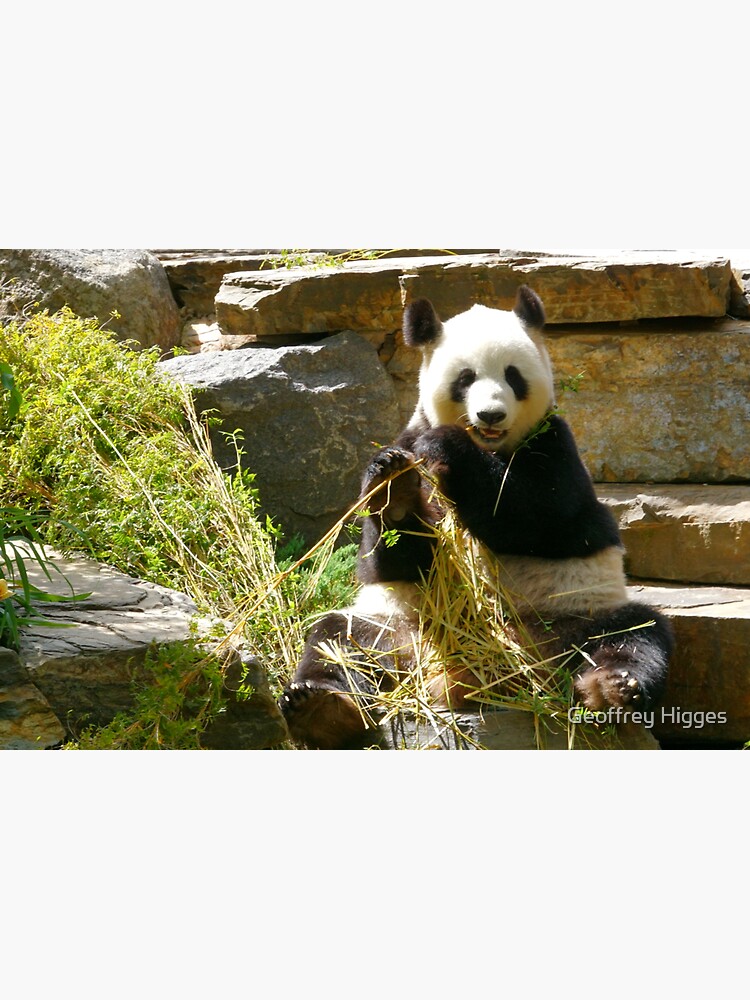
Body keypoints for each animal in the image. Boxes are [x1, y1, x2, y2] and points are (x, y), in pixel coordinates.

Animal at [280, 285, 673, 749]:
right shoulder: (408, 438)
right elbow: (392, 559)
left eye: (513, 376)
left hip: (574, 617)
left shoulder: (556, 445)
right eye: (465, 378)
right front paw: (396, 489)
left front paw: (449, 448)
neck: (491, 447)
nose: (490, 415)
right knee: (336, 641)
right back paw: (320, 709)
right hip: (397, 630)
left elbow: (541, 517)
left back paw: (611, 689)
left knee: (634, 635)